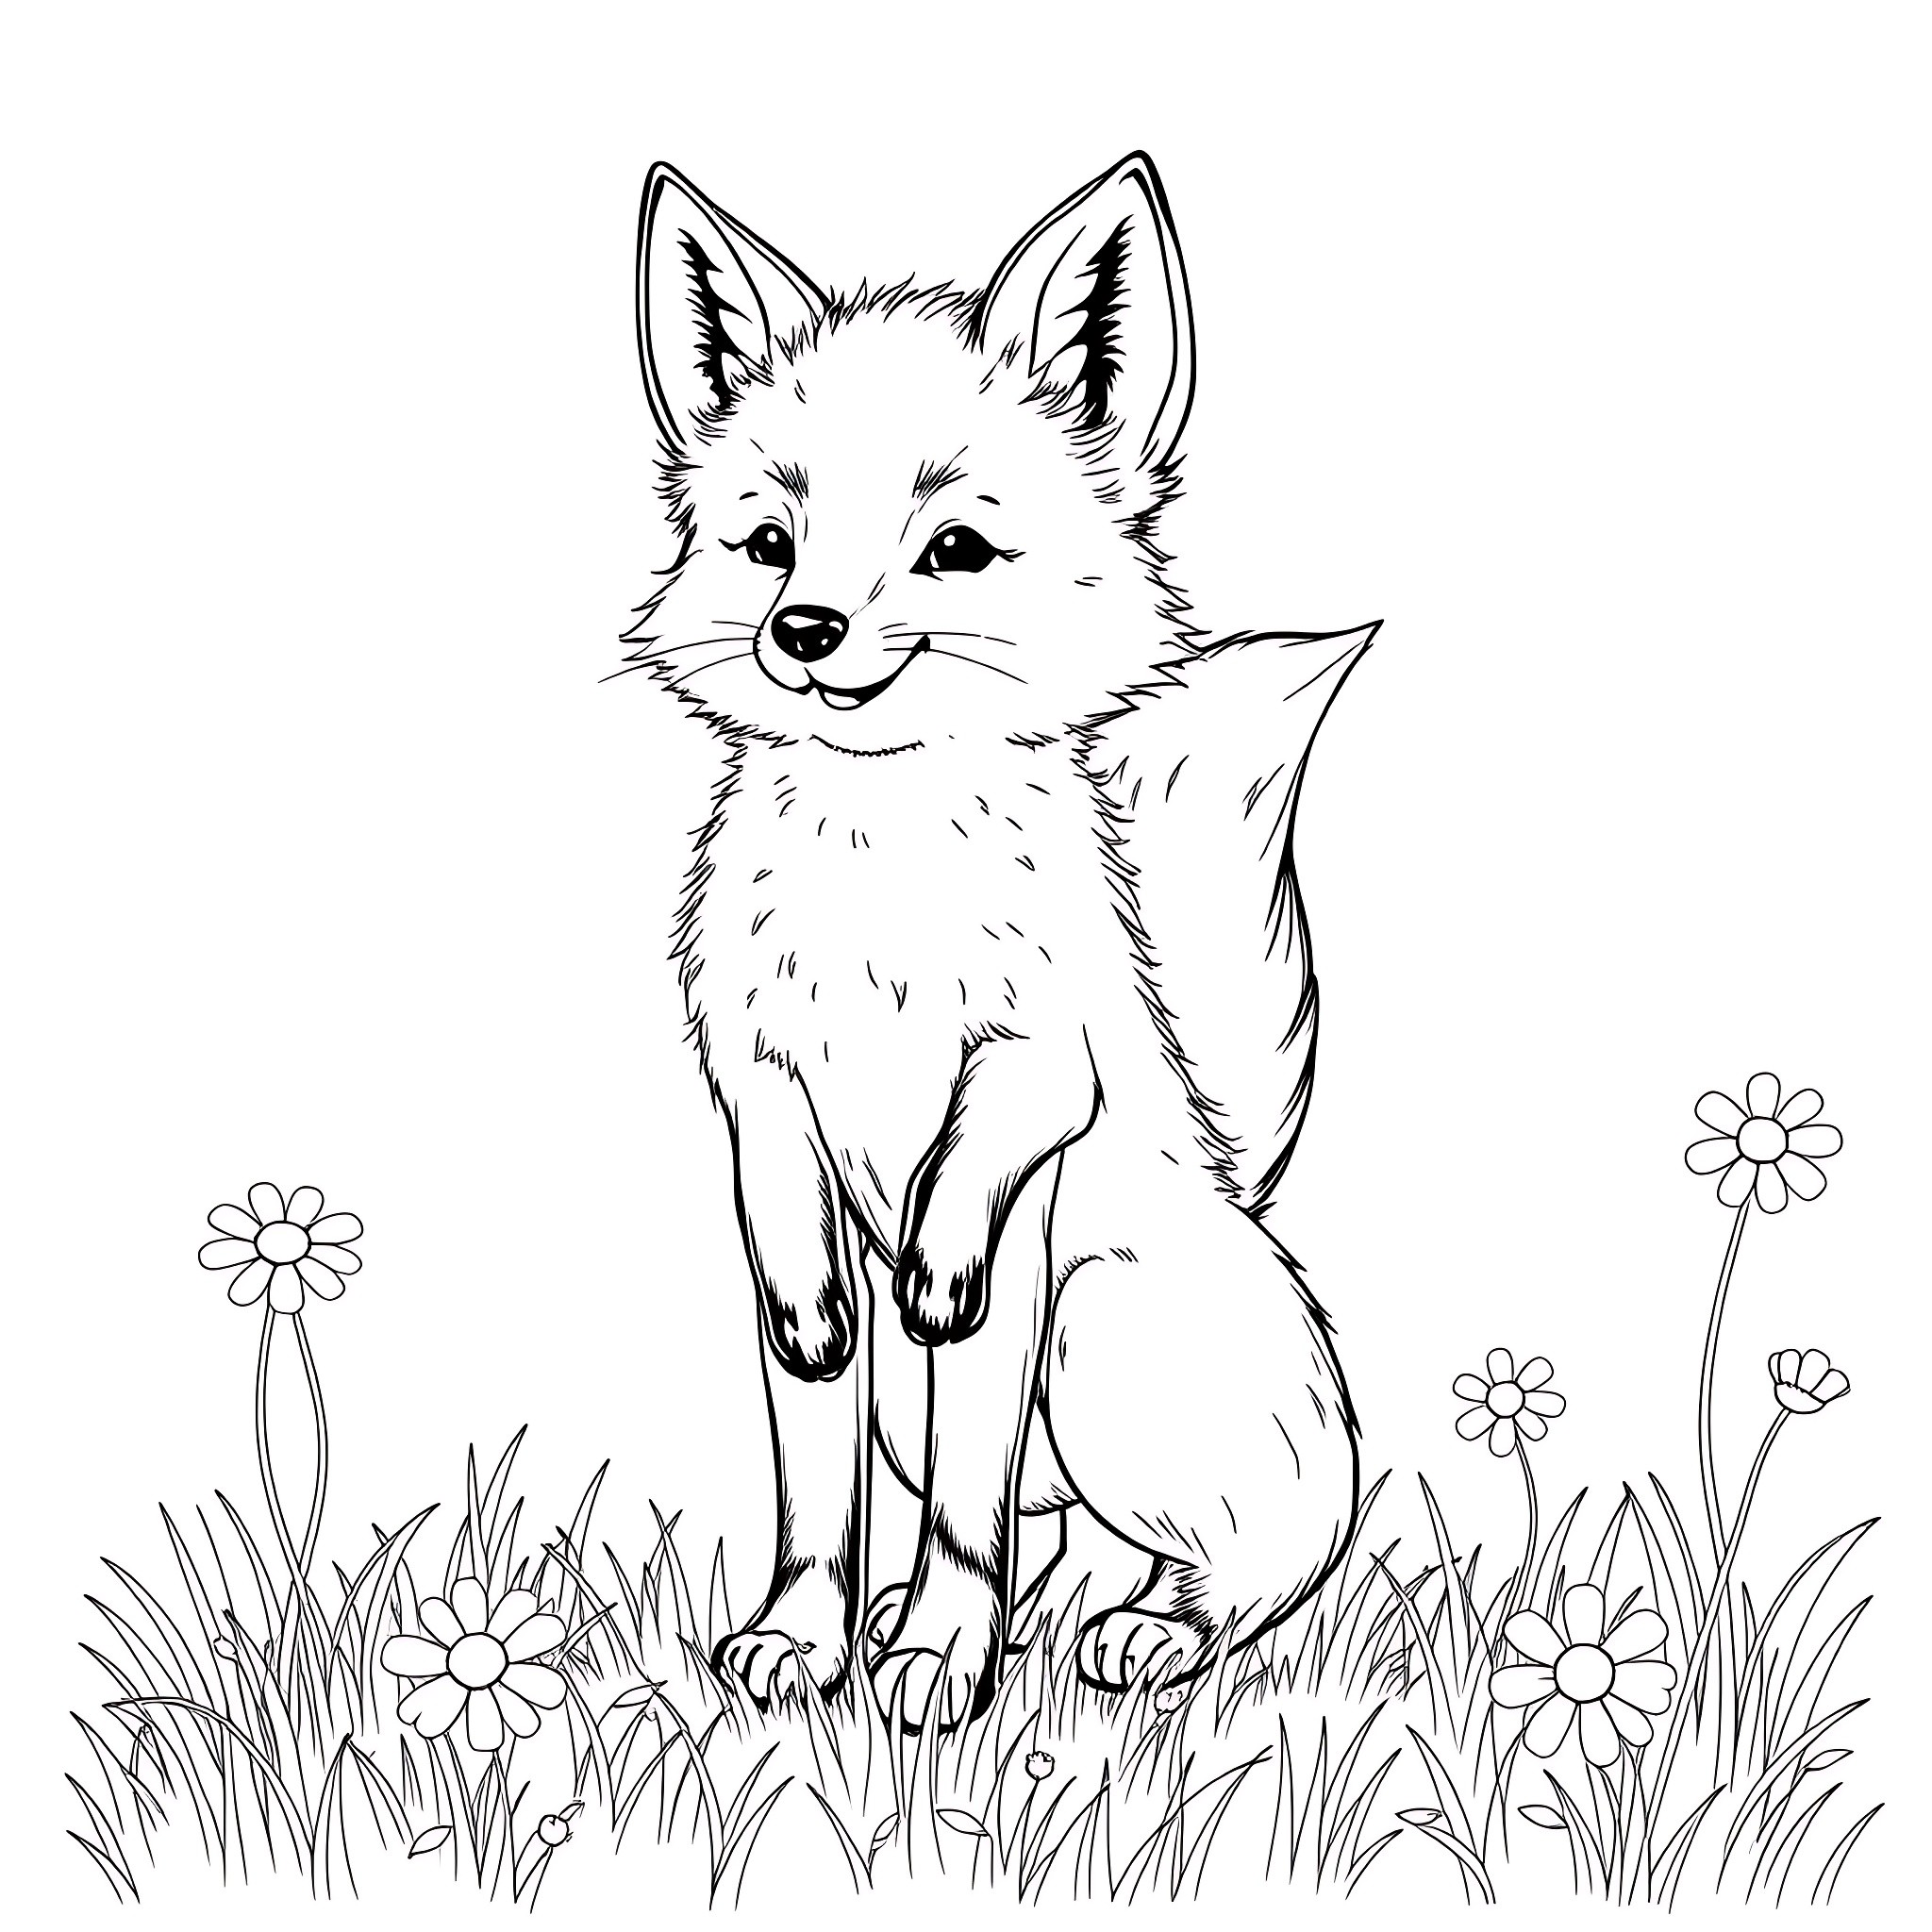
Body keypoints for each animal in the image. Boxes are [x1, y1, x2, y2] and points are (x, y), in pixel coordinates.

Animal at [626, 153, 1372, 1728]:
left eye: (953, 550)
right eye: (768, 543)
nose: (805, 627)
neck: (876, 897)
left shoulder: (1038, 1072)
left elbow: (963, 1465)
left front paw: (933, 1665)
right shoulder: (759, 1083)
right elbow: (813, 1476)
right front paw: (803, 1644)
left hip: (1092, 1346)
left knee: (1254, 1568)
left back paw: (1141, 1639)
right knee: (1077, 1544)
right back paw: (1043, 1618)